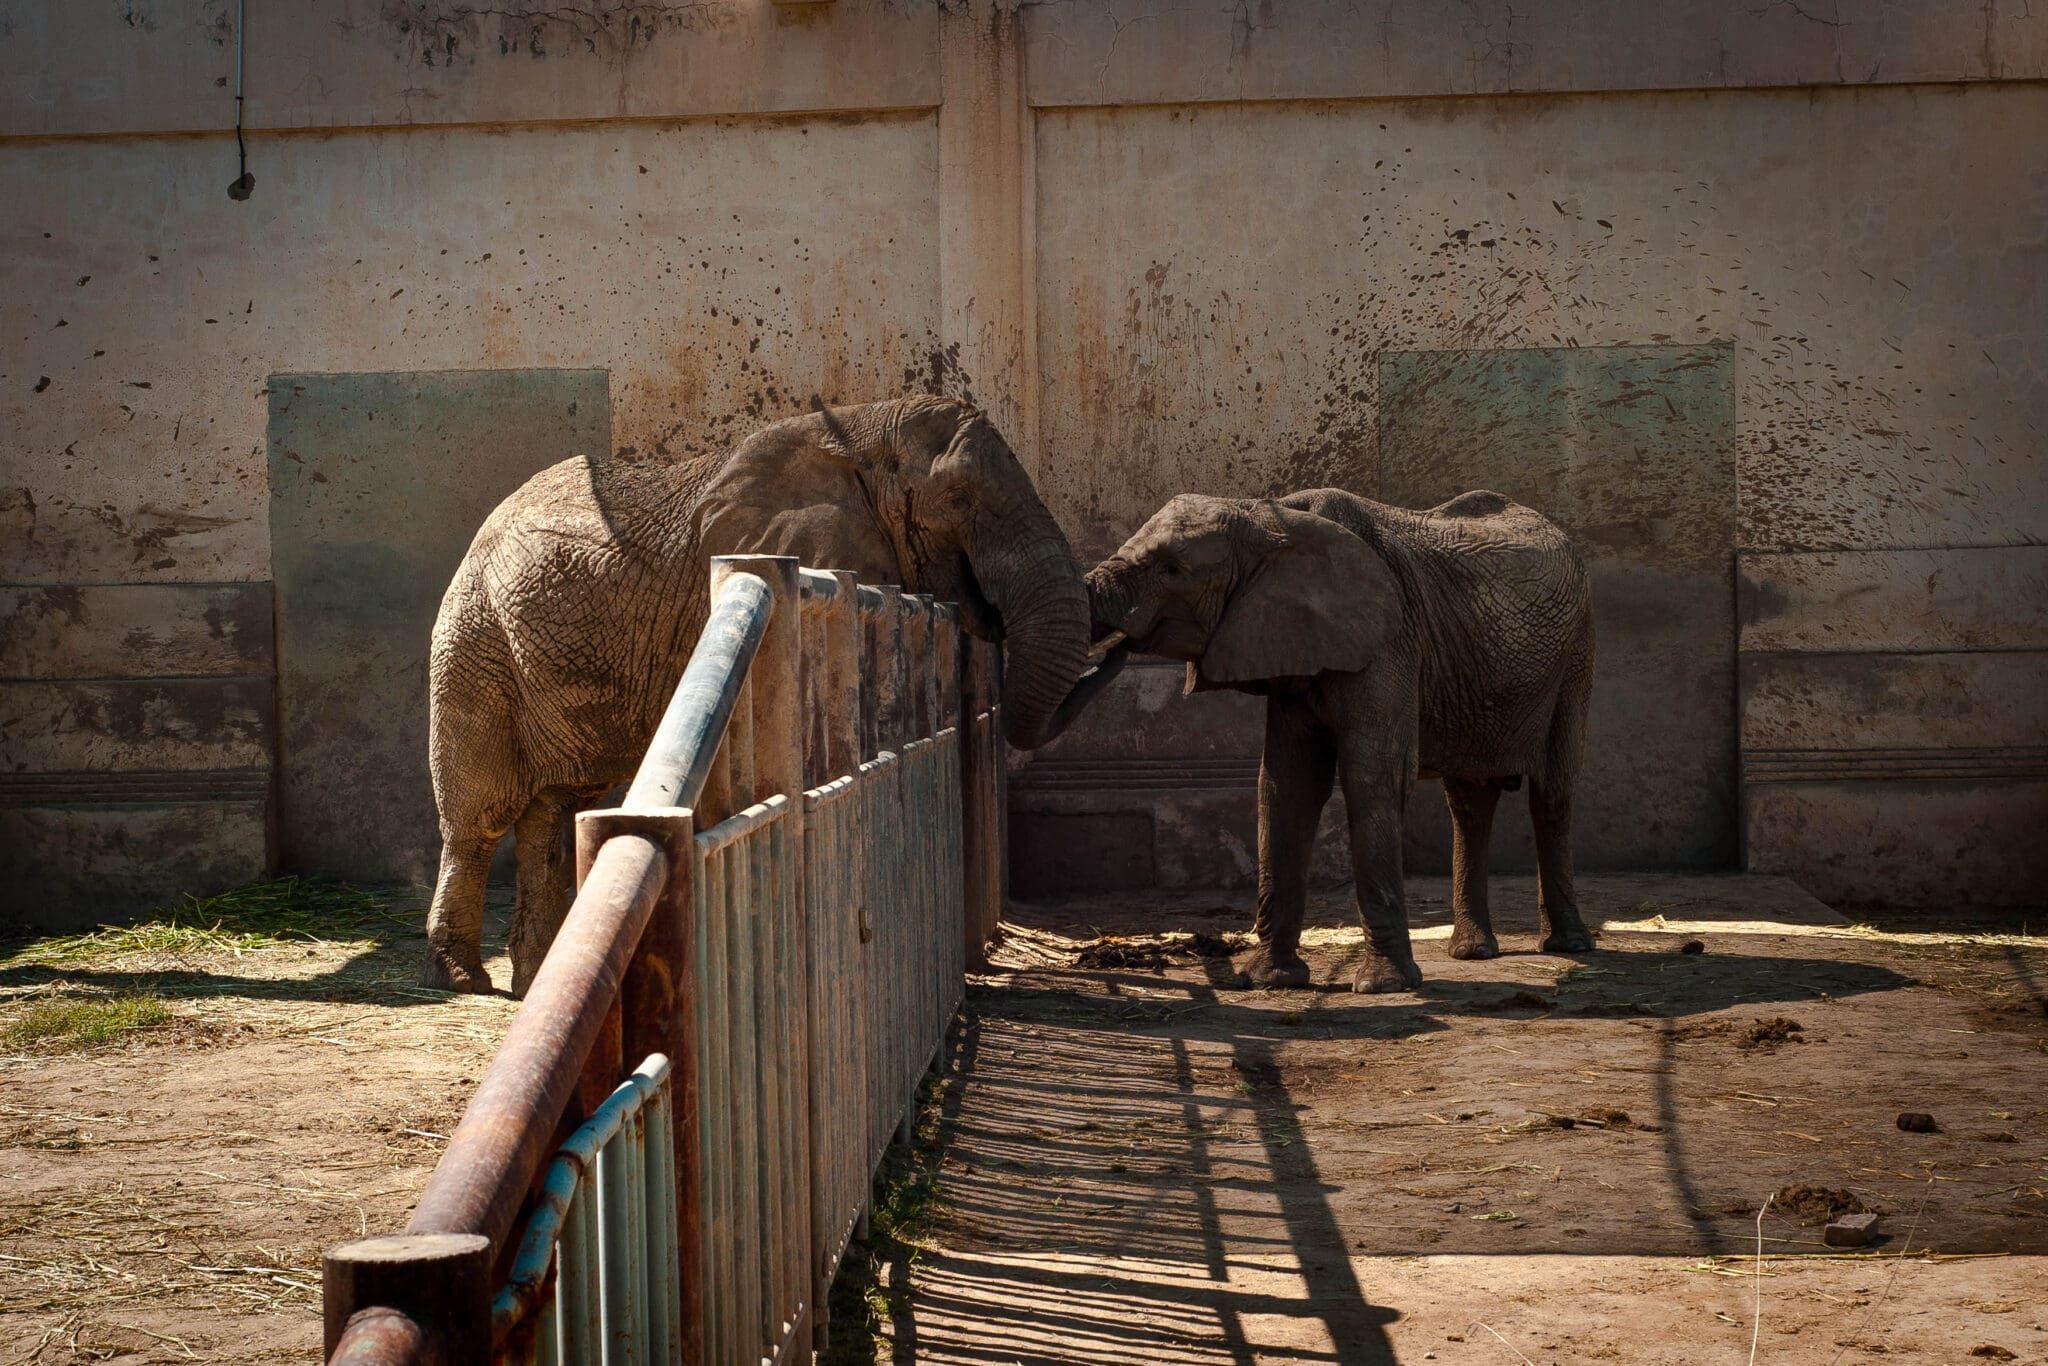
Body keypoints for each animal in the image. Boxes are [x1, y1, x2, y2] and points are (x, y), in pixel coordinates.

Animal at [423, 396, 1118, 994]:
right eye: (957, 499)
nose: (1119, 642)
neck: (861, 432)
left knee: (557, 804)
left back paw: (533, 981)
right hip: (474, 638)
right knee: (481, 816)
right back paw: (464, 977)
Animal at [1084, 487, 1597, 994]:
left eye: (1171, 570)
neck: (1268, 515)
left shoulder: (1388, 643)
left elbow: (1372, 777)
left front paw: (1383, 987)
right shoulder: (1292, 644)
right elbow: (1287, 784)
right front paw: (1269, 981)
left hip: (1575, 657)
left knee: (1552, 794)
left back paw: (1569, 946)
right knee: (1469, 802)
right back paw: (1472, 952)